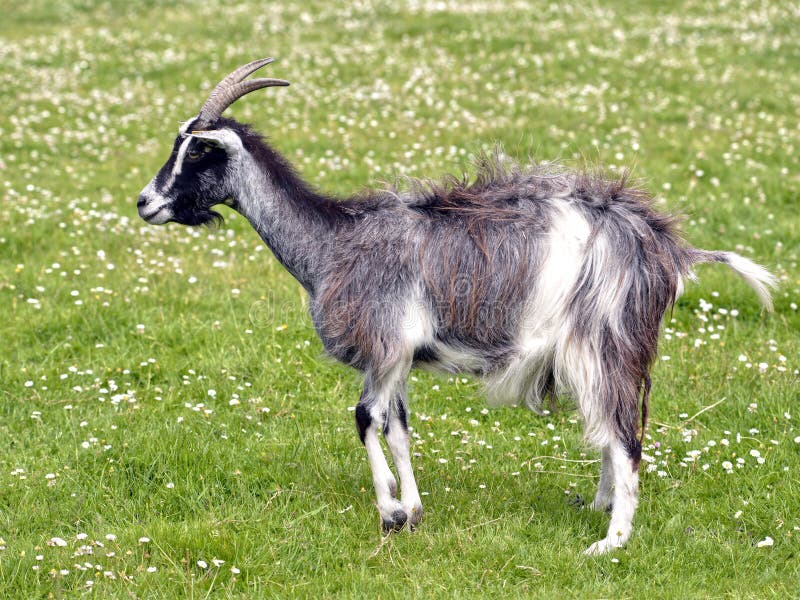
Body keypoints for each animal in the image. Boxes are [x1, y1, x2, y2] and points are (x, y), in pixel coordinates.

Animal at [138, 58, 776, 554]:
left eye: (199, 151)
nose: (145, 202)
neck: (333, 241)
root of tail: (666, 247)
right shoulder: (396, 356)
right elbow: (397, 427)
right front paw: (413, 509)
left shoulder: (385, 342)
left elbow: (365, 418)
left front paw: (391, 513)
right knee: (609, 427)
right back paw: (597, 507)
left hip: (601, 340)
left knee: (624, 435)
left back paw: (610, 541)